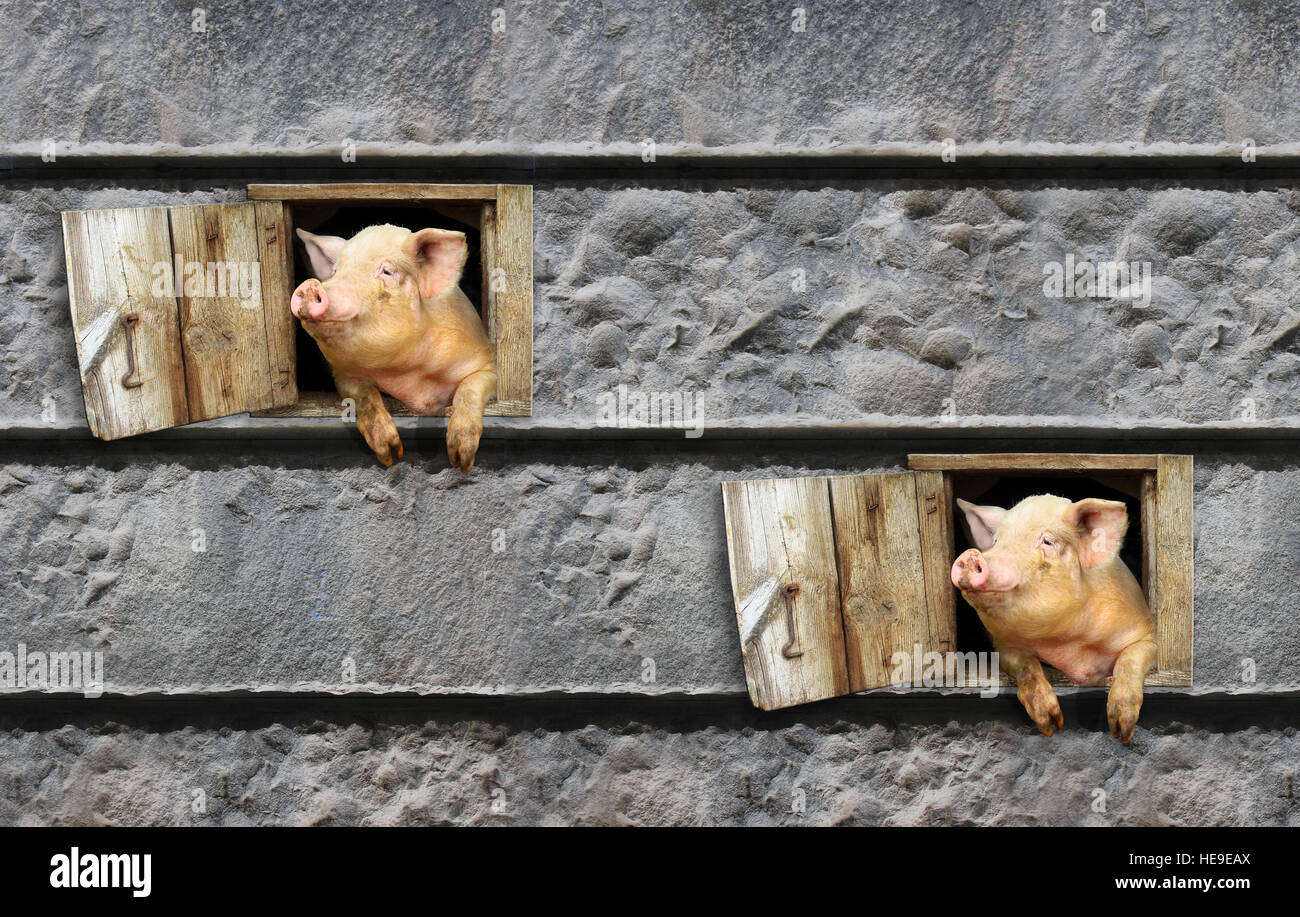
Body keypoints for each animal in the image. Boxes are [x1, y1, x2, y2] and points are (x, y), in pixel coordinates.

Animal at [290, 224, 496, 471]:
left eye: (387, 271)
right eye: (335, 270)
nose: (310, 286)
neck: (408, 376)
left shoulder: (485, 363)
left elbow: (469, 389)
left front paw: (461, 462)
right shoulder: (344, 375)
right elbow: (363, 395)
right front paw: (391, 455)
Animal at [951, 494, 1156, 743]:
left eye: (1047, 541)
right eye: (997, 540)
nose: (971, 555)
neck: (1069, 646)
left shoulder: (1145, 633)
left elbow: (1130, 660)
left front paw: (1122, 732)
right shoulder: (1004, 645)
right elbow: (1026, 665)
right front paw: (1051, 725)